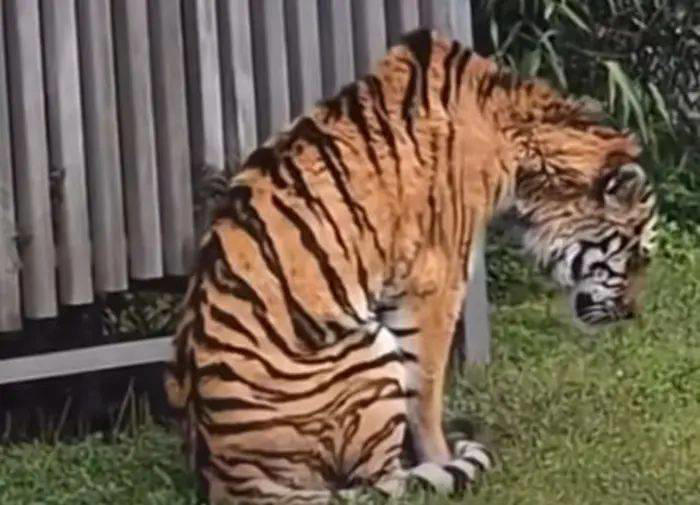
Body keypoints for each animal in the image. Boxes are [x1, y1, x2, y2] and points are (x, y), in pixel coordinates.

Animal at [164, 29, 658, 504]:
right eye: (636, 257)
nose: (633, 313)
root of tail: (224, 476)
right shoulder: (438, 282)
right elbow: (426, 387)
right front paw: (438, 455)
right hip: (366, 353)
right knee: (384, 483)